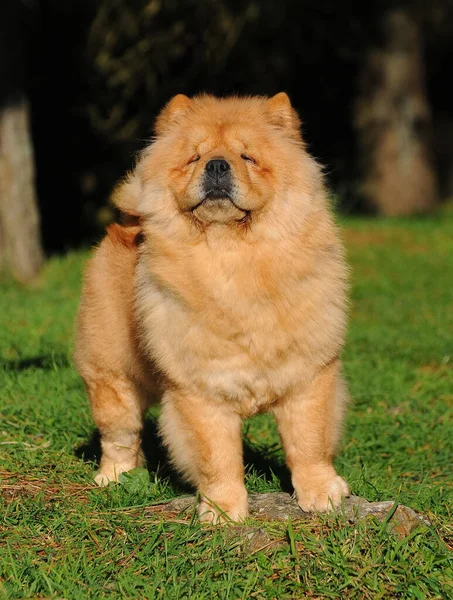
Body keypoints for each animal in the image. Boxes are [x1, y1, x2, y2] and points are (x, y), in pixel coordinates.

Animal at [75, 92, 350, 520]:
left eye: (247, 157)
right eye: (195, 157)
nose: (217, 165)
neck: (234, 258)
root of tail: (123, 225)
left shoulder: (309, 376)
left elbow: (309, 443)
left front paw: (322, 495)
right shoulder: (201, 390)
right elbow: (217, 457)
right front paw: (223, 512)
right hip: (110, 373)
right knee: (120, 434)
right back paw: (116, 478)